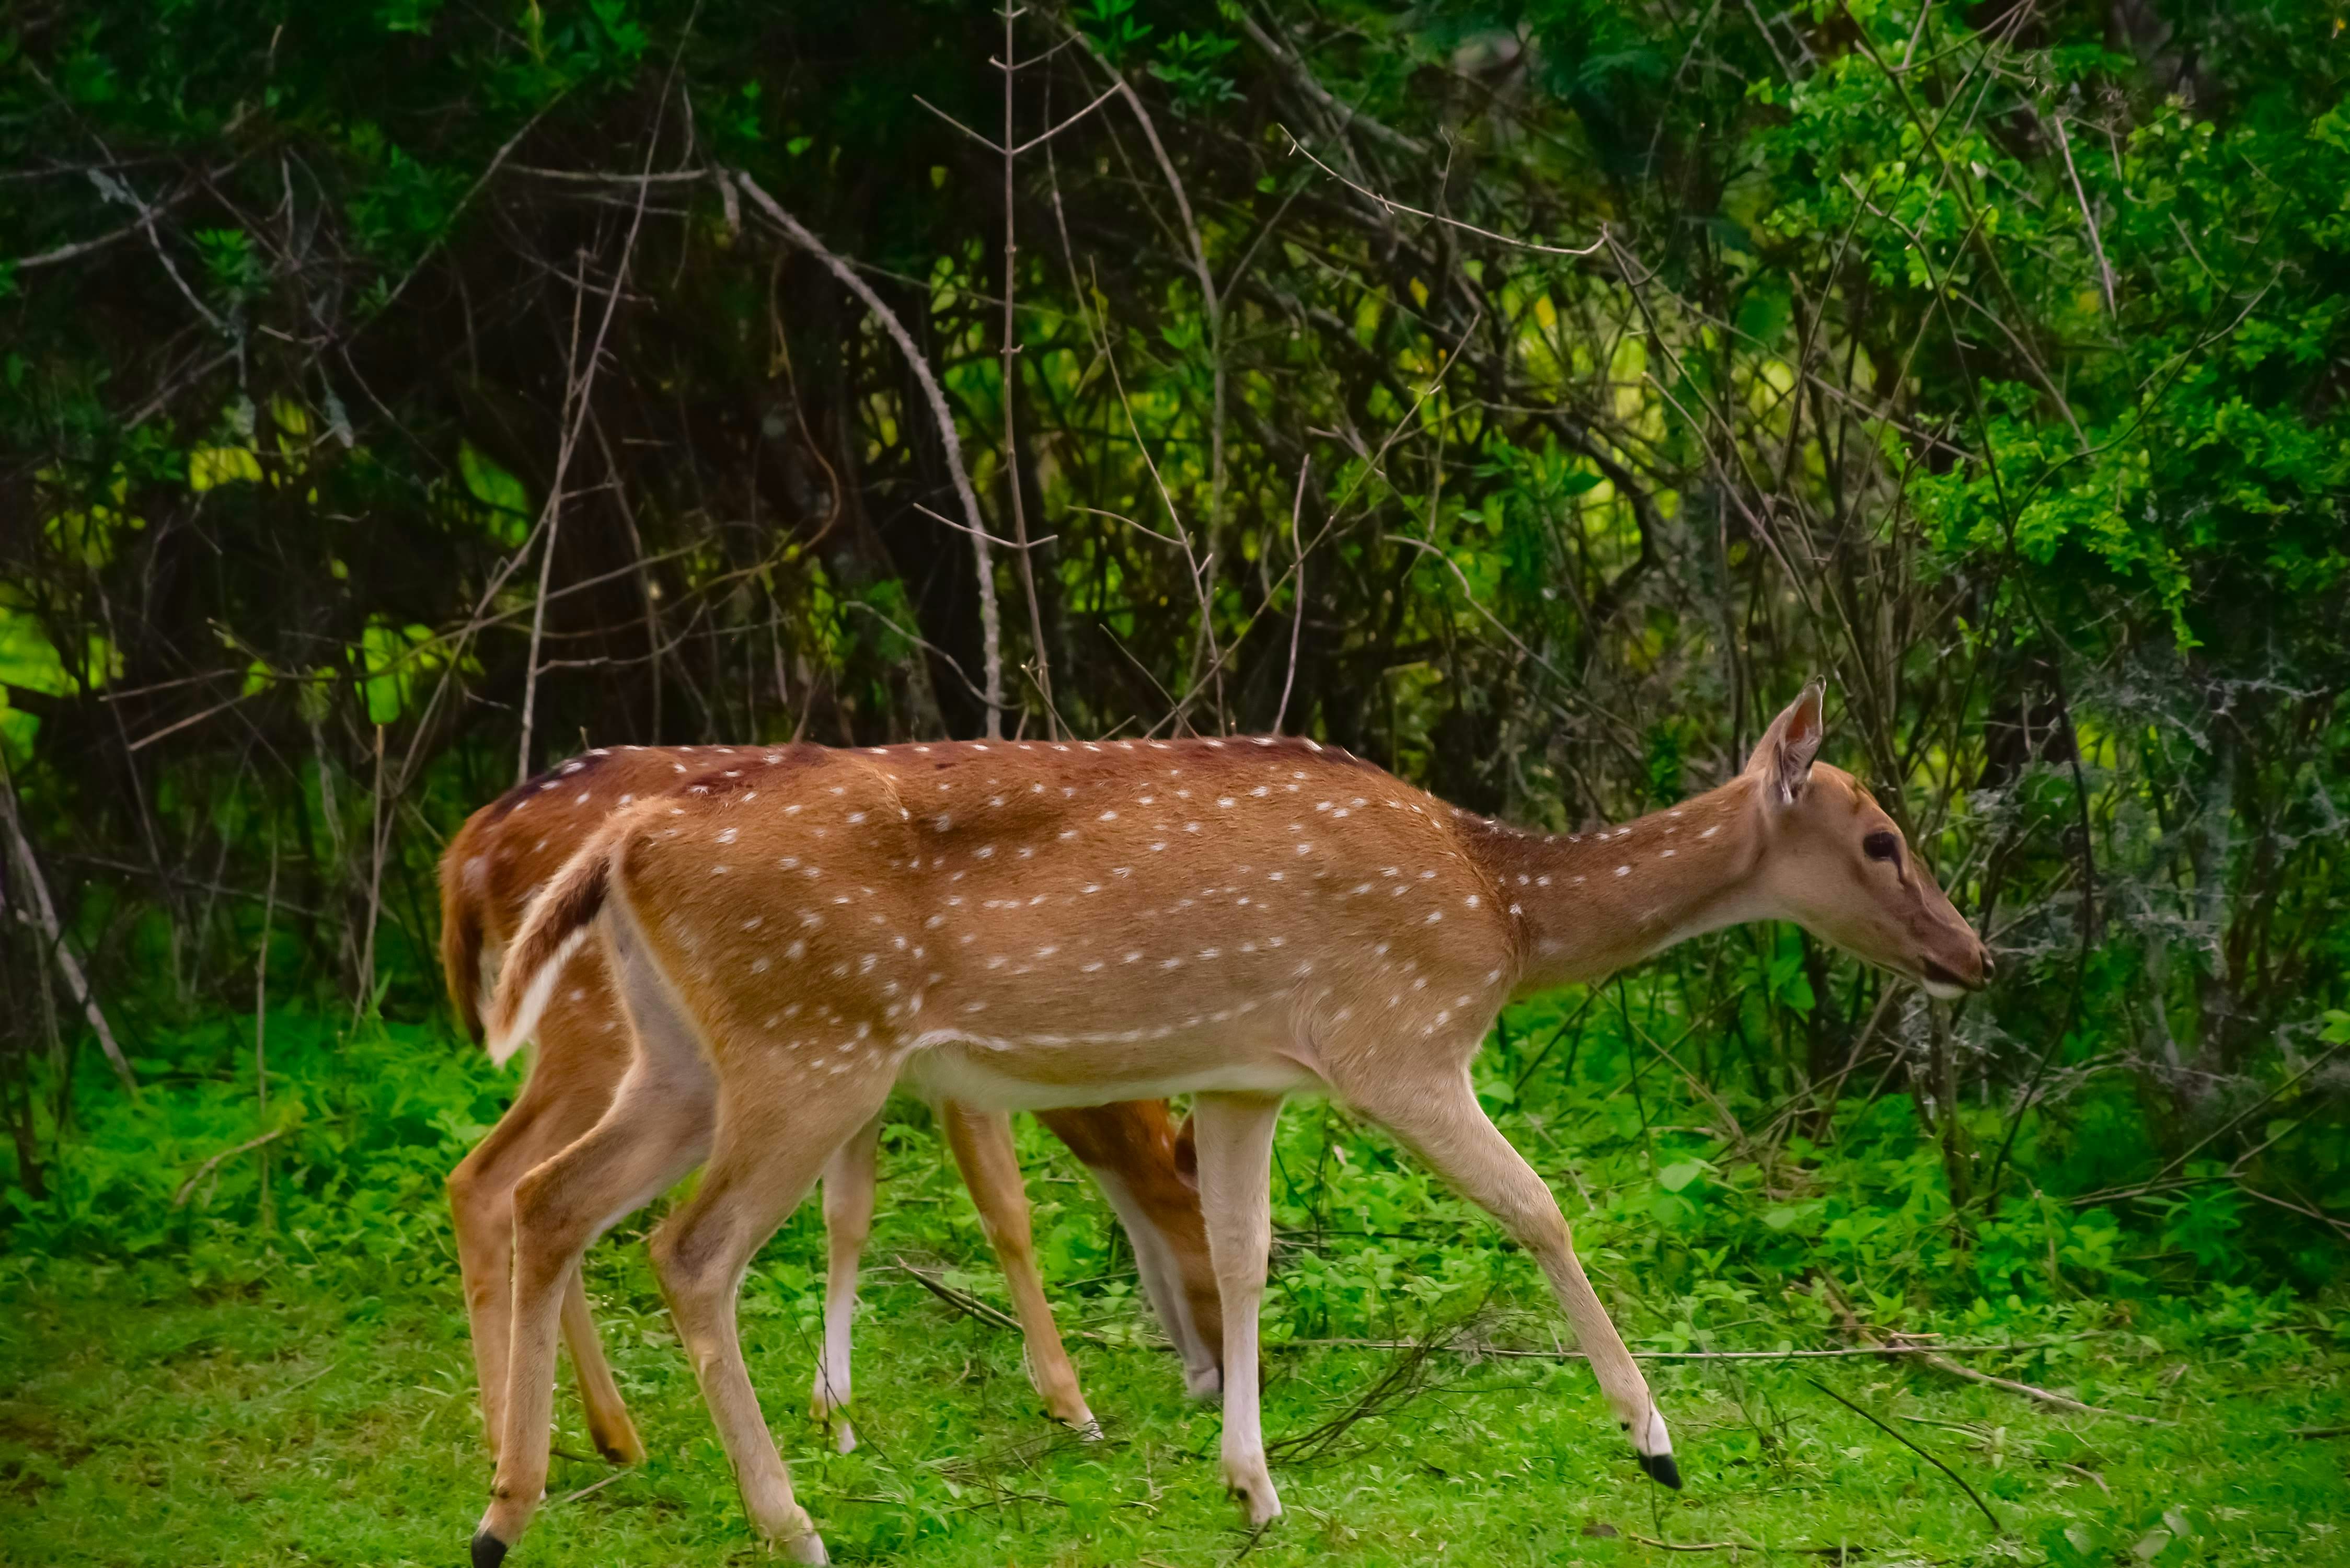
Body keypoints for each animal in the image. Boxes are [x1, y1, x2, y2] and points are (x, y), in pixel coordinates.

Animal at [438, 745, 1225, 1470]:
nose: (1220, 1378)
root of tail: (467, 853)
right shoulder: (958, 1074)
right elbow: (1007, 1213)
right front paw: (1071, 1406)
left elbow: (848, 1216)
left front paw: (833, 1416)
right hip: (594, 1034)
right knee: (491, 1178)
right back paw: (511, 1440)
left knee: (527, 1186)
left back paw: (608, 1437)